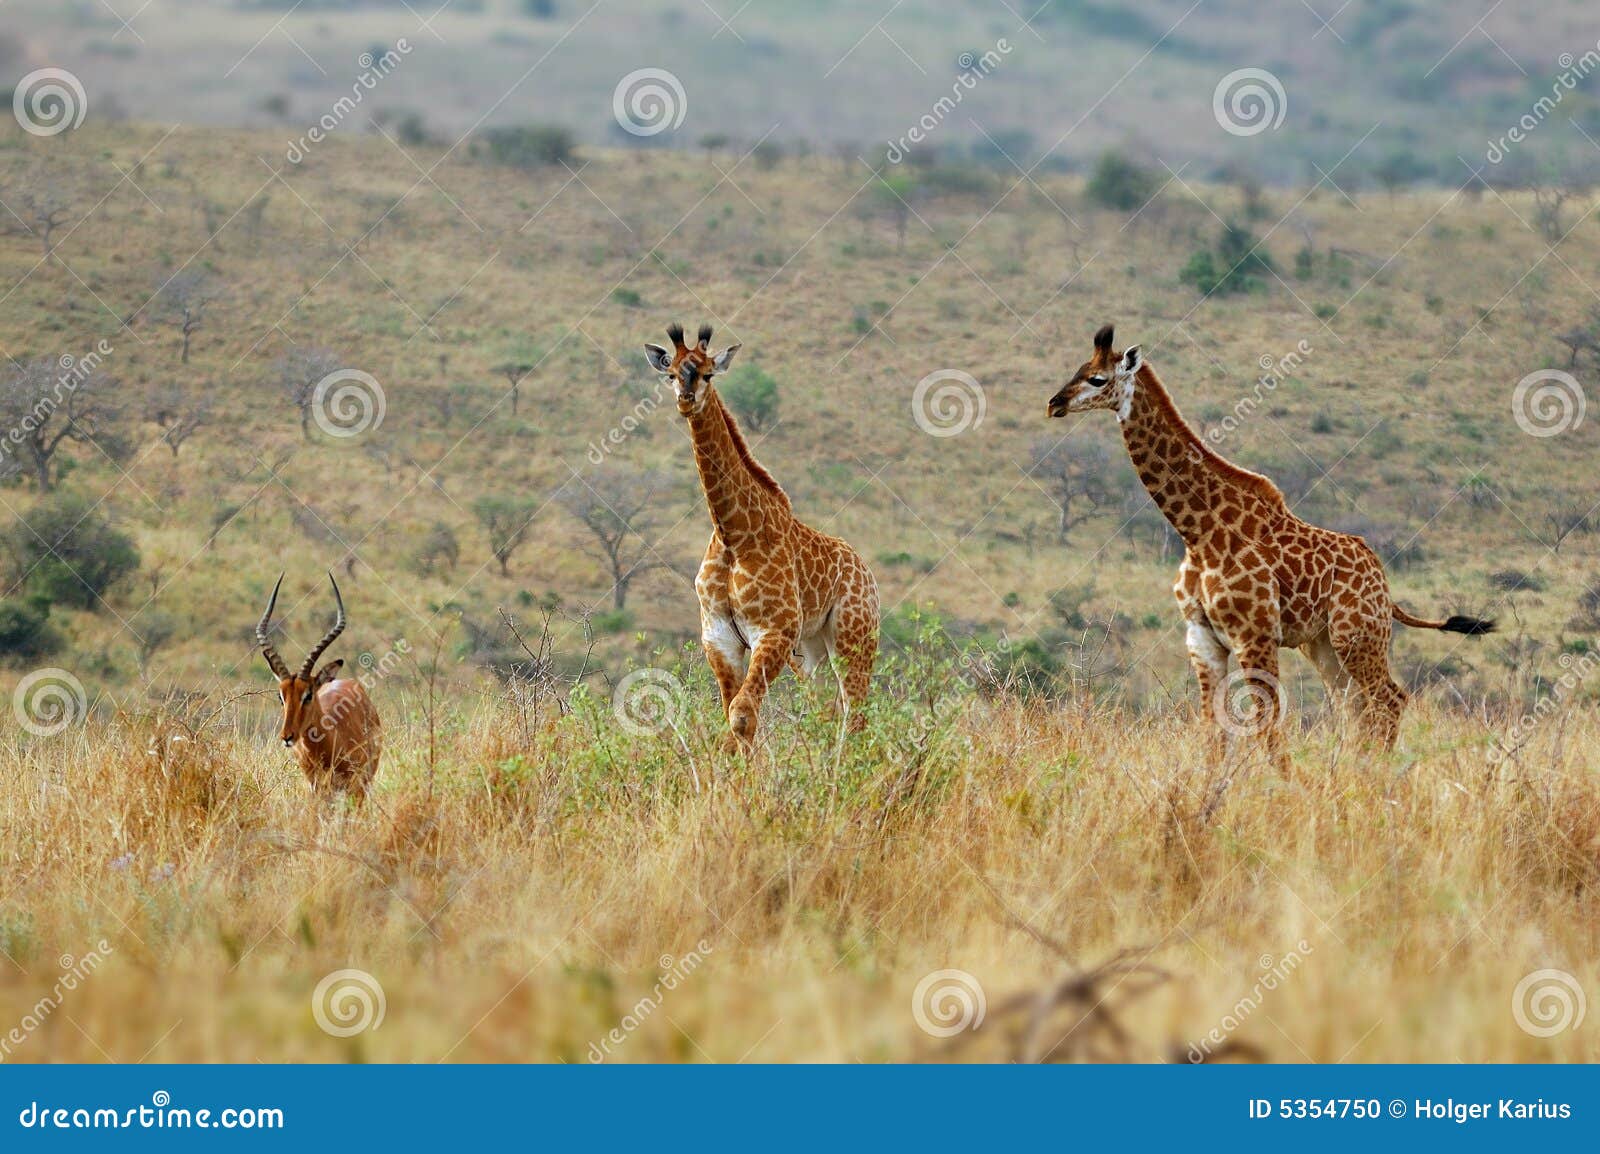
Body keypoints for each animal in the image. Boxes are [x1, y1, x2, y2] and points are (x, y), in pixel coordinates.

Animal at [644, 322, 881, 752]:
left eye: (708, 374)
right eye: (670, 374)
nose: (686, 400)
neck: (733, 535)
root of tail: (865, 571)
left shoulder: (772, 633)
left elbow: (741, 715)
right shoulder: (719, 639)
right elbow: (731, 717)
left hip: (853, 638)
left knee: (856, 717)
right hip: (812, 650)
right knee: (827, 714)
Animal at [1046, 324, 1493, 772]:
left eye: (1097, 379)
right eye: (1078, 369)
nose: (1054, 404)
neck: (1198, 532)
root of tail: (1381, 578)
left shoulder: (1255, 635)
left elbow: (1267, 724)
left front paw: (1282, 785)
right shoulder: (1201, 640)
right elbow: (1214, 731)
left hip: (1357, 634)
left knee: (1388, 700)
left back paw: (1374, 775)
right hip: (1324, 644)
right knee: (1356, 707)